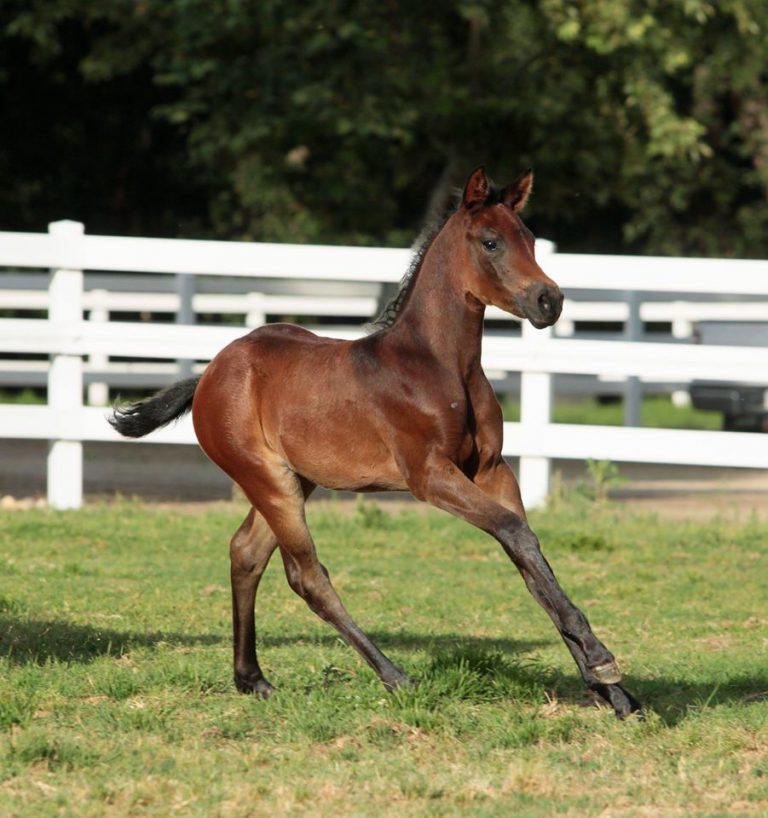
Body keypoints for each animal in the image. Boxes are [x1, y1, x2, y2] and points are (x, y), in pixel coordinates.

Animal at [110, 167, 642, 719]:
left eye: (532, 240)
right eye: (491, 242)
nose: (548, 301)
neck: (437, 364)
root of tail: (211, 372)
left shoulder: (493, 471)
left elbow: (530, 559)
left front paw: (613, 690)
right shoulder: (429, 475)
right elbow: (516, 535)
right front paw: (602, 663)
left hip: (293, 479)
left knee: (246, 552)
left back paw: (252, 679)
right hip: (267, 479)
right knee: (306, 576)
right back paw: (395, 677)